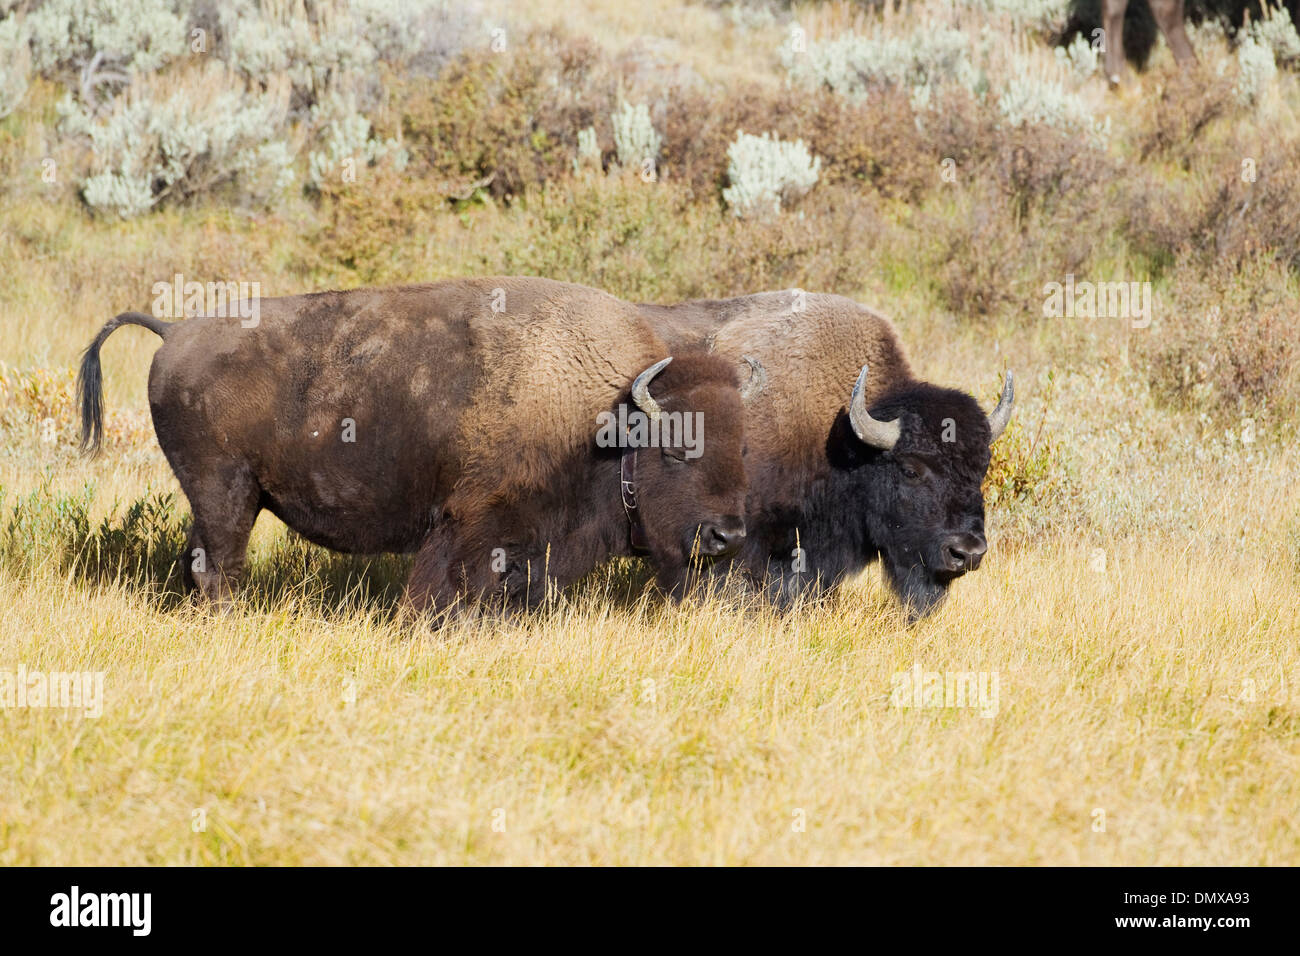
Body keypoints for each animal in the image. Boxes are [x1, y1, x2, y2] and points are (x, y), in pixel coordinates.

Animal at [78, 277, 763, 612]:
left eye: (741, 450)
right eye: (675, 450)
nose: (727, 536)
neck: (606, 415)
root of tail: (174, 331)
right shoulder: (475, 525)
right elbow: (449, 588)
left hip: (217, 498)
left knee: (200, 560)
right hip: (226, 494)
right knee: (217, 564)